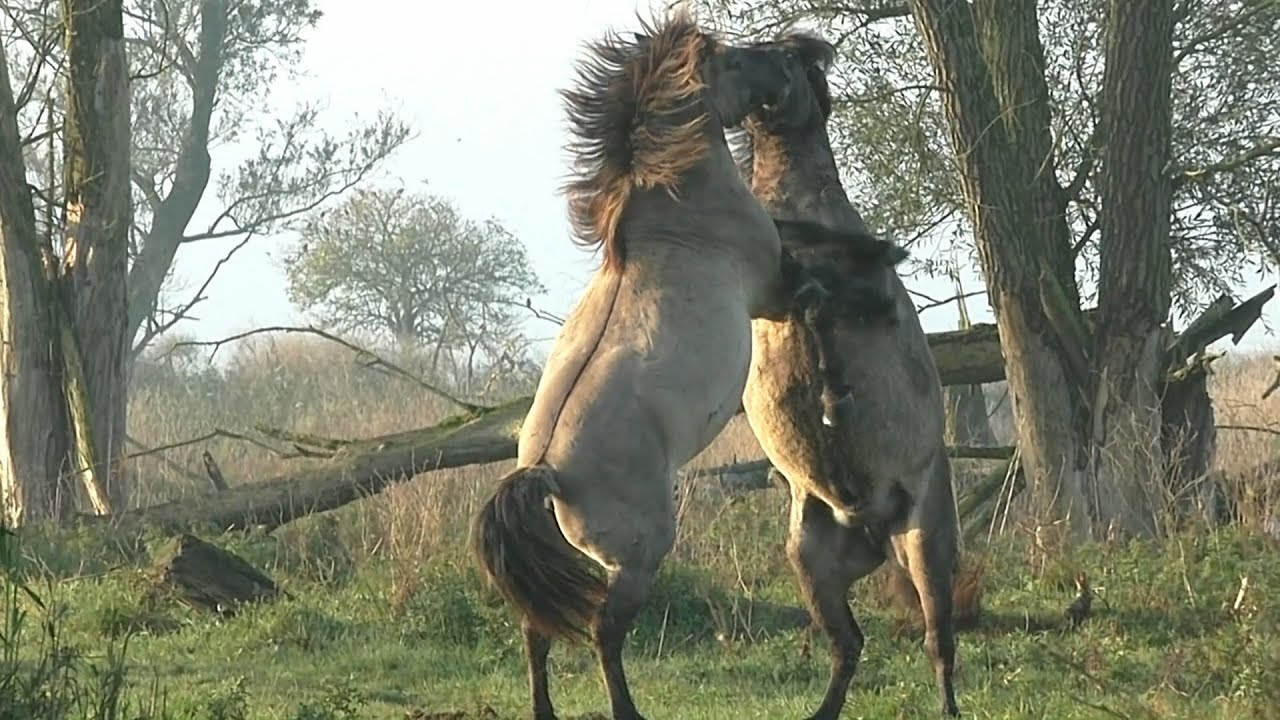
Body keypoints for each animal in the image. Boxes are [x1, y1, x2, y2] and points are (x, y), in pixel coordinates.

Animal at [470, 12, 899, 720]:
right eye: (735, 61)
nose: (797, 55)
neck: (678, 211)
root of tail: (545, 472)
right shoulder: (770, 290)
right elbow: (818, 300)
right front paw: (838, 393)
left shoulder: (776, 266)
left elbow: (811, 248)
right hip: (640, 556)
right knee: (602, 632)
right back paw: (627, 711)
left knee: (537, 630)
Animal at [734, 32, 963, 718]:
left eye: (783, 56)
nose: (736, 69)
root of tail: (873, 532)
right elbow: (799, 293)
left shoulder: (870, 297)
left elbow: (818, 300)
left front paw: (835, 397)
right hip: (811, 561)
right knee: (849, 645)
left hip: (927, 542)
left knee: (939, 643)